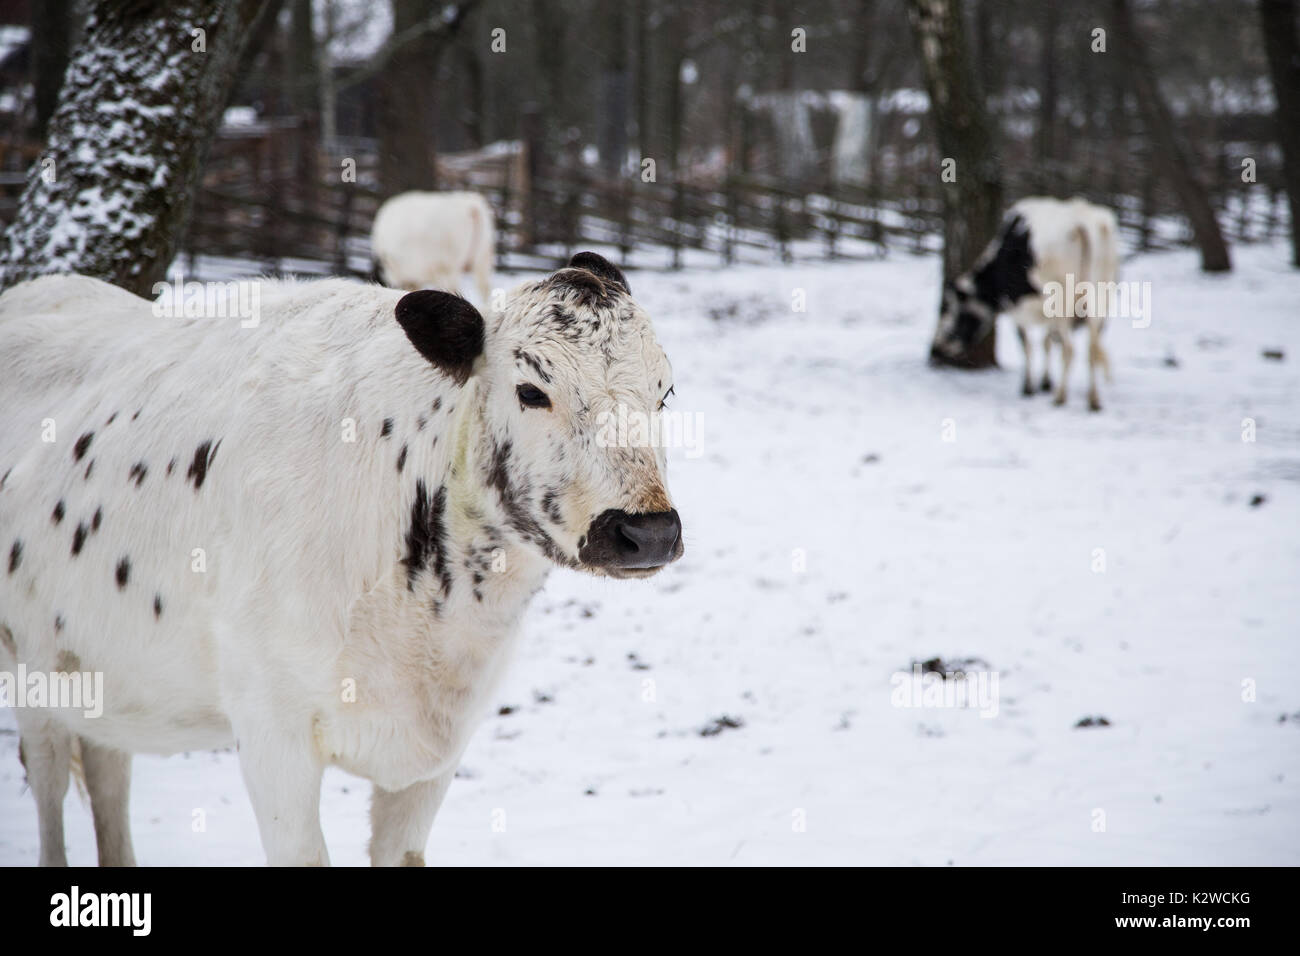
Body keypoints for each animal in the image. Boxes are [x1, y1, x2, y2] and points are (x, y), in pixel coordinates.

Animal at [0, 252, 683, 866]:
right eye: (531, 390)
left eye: (665, 392)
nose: (647, 531)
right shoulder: (271, 728)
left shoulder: (436, 756)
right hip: (33, 672)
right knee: (52, 789)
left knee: (109, 774)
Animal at [930, 197, 1119, 411]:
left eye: (945, 309)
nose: (935, 348)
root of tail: (1081, 219)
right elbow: (1046, 342)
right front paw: (1045, 383)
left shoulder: (1017, 308)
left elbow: (1027, 345)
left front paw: (1028, 387)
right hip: (1099, 298)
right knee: (1092, 349)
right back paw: (1093, 400)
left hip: (1063, 302)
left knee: (1070, 349)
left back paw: (1060, 397)